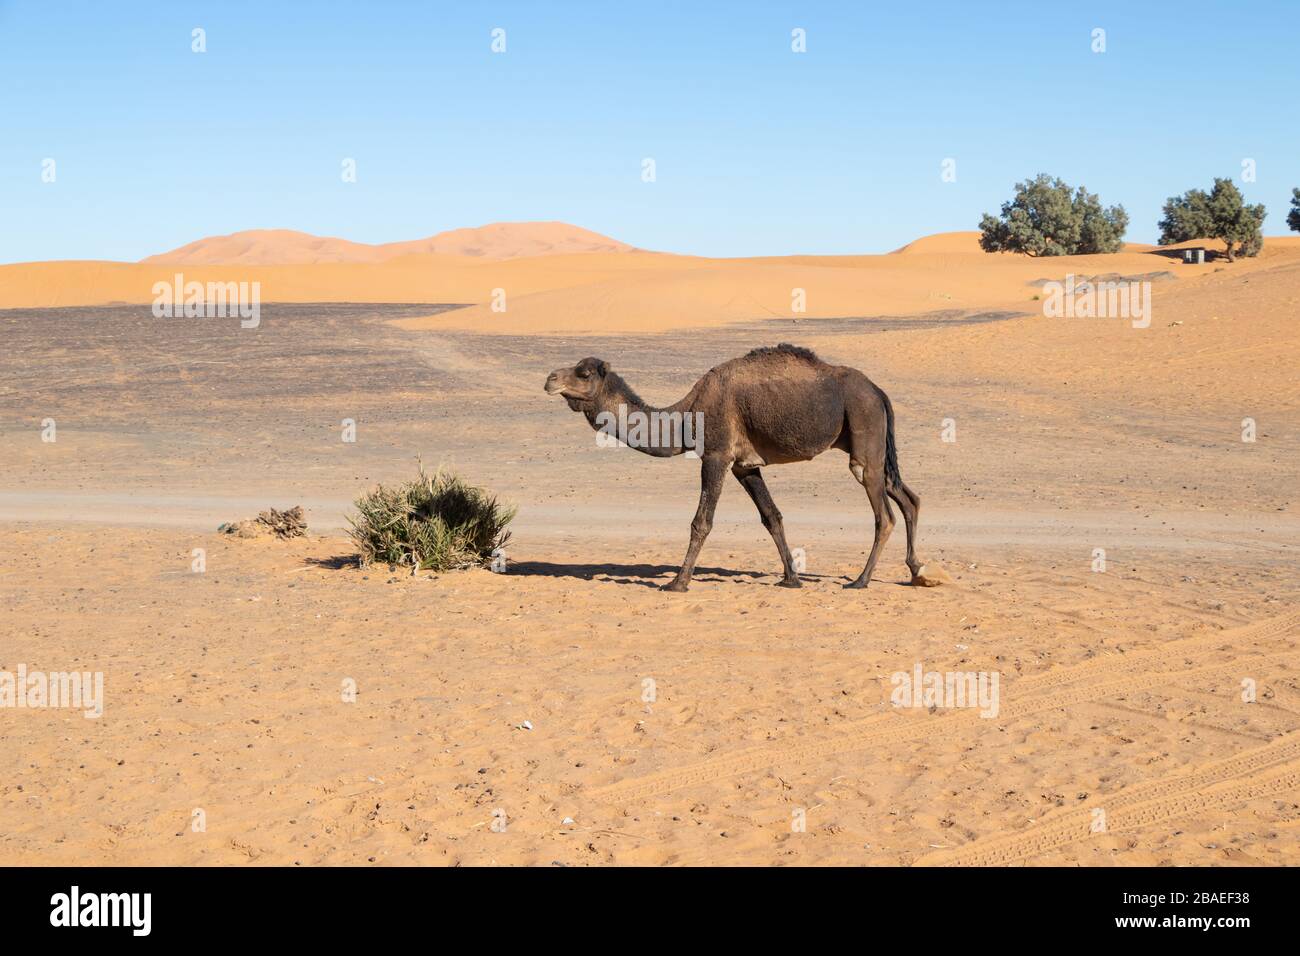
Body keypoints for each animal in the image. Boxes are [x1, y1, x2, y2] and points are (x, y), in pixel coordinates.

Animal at [545, 344, 933, 592]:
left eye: (582, 373)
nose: (550, 378)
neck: (688, 414)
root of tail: (878, 391)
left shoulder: (716, 456)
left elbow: (701, 522)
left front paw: (677, 582)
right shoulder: (744, 466)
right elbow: (771, 516)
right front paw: (791, 578)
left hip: (863, 428)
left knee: (883, 513)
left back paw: (860, 580)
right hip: (871, 443)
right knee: (907, 496)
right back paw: (917, 572)